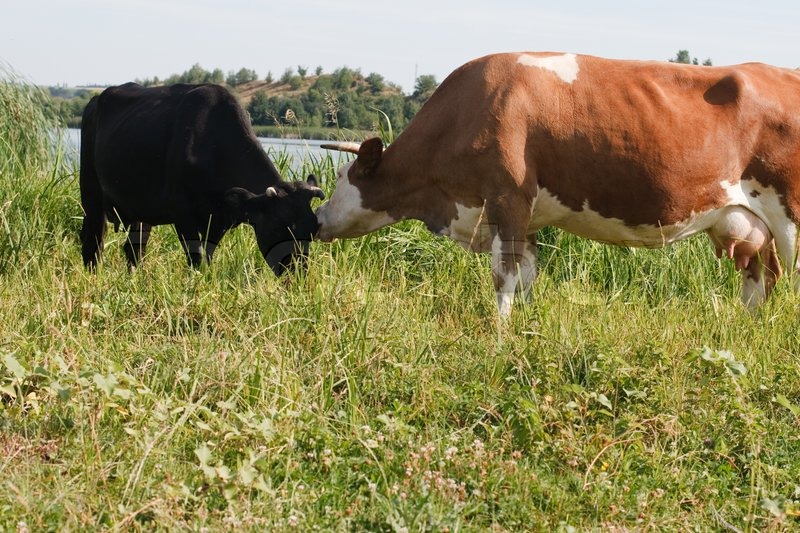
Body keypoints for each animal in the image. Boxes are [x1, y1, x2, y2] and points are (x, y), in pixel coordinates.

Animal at [80, 82, 325, 275]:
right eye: (277, 229)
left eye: (312, 230)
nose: (297, 274)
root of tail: (96, 100)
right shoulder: (181, 212)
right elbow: (195, 256)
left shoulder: (220, 218)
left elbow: (207, 254)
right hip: (91, 191)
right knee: (93, 240)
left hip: (140, 205)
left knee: (134, 247)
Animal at [316, 52, 800, 317]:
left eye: (342, 177)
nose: (317, 217)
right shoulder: (524, 216)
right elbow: (528, 275)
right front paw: (526, 326)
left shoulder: (507, 197)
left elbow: (504, 276)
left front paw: (500, 332)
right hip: (748, 222)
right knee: (760, 278)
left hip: (790, 215)